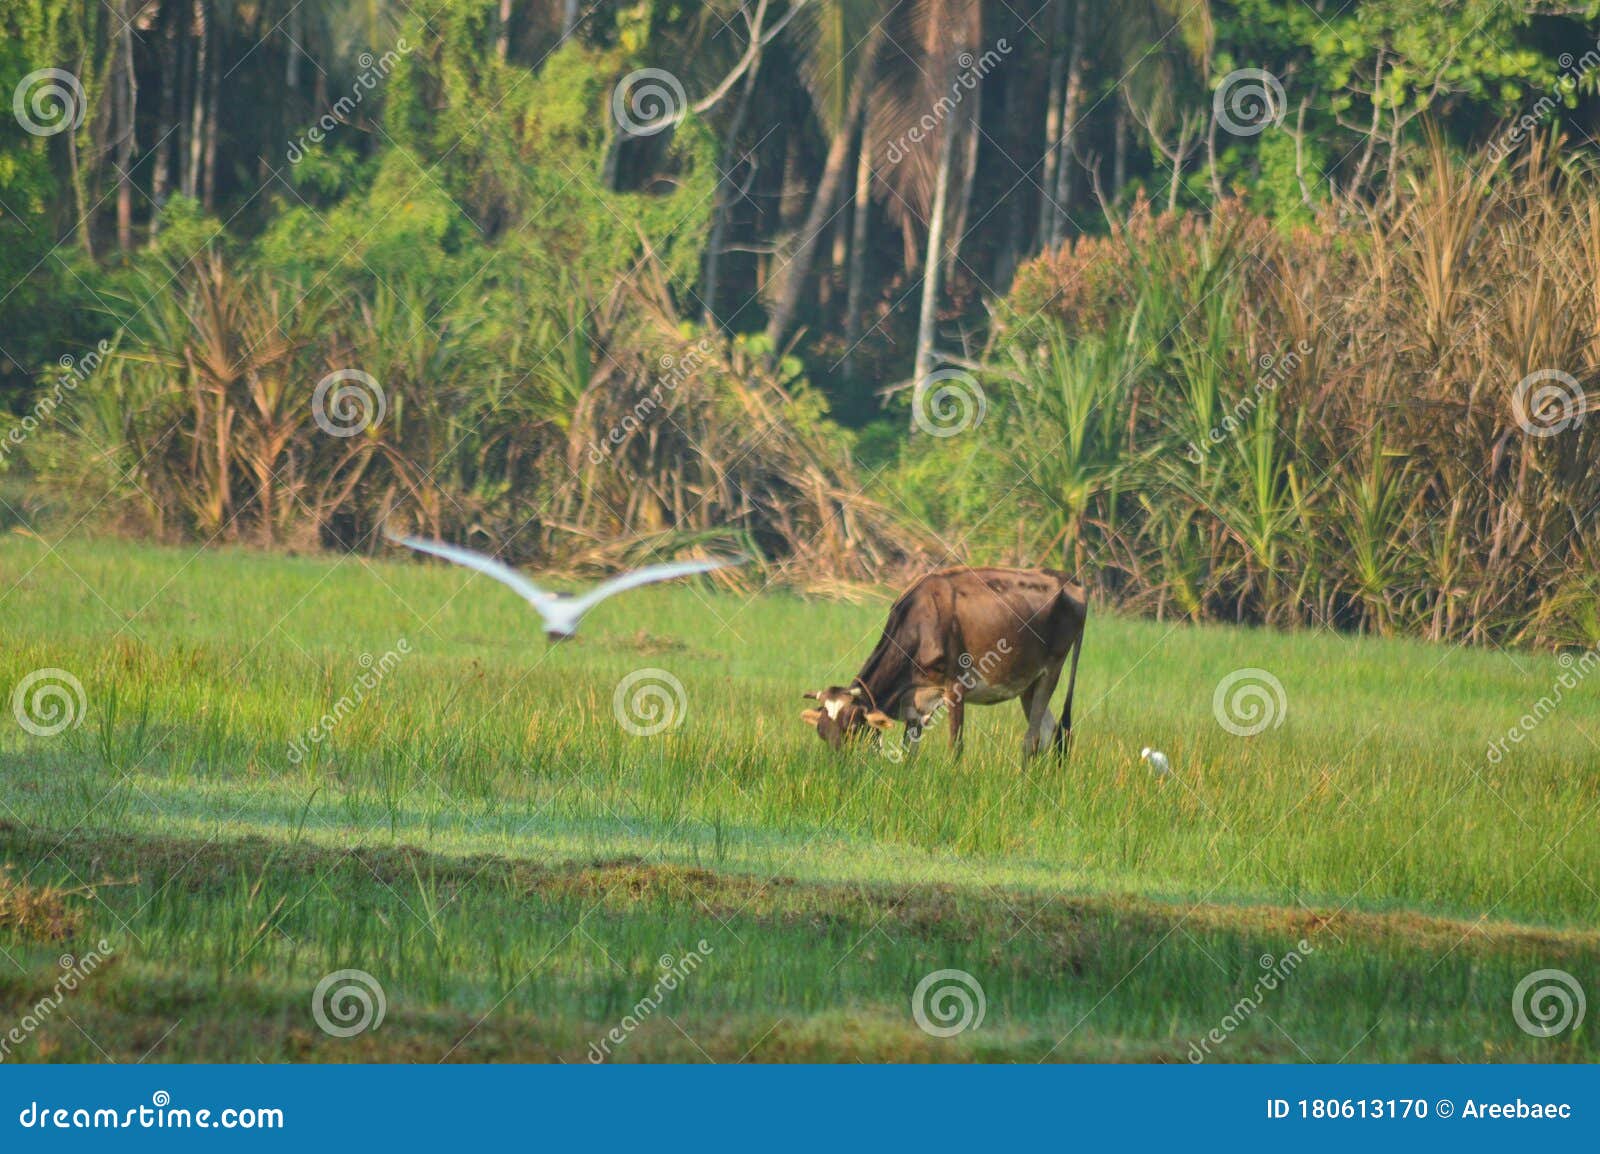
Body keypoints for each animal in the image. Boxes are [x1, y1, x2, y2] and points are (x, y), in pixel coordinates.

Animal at [801, 567, 1086, 759]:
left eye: (851, 728)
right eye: (821, 732)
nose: (839, 766)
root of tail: (1068, 580)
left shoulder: (956, 687)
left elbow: (955, 745)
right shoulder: (916, 699)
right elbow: (909, 750)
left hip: (1052, 670)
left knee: (1034, 738)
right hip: (1028, 682)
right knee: (1052, 732)